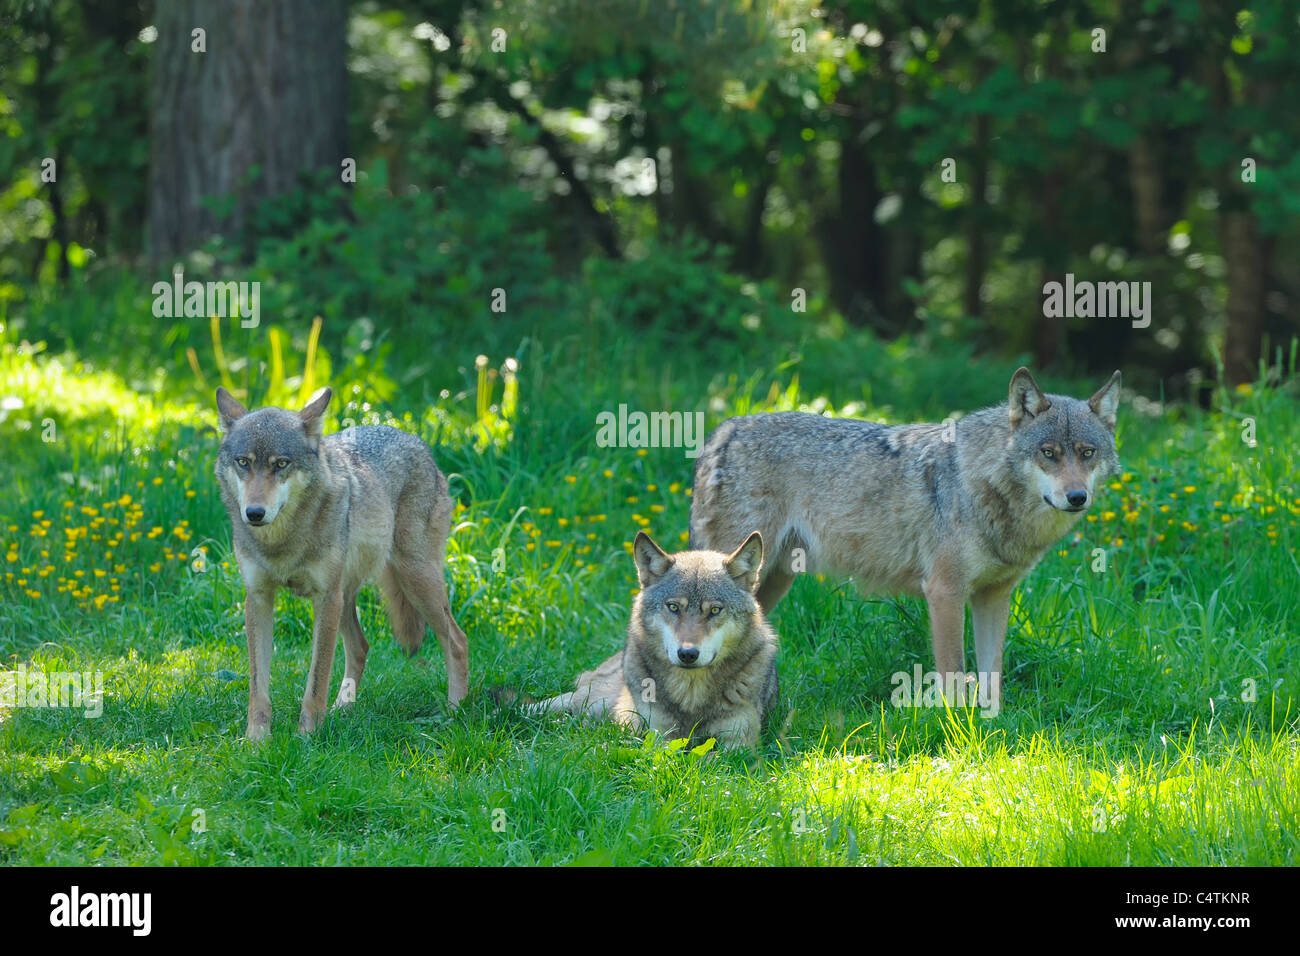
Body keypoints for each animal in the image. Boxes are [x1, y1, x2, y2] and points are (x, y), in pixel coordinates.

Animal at [215, 386, 469, 740]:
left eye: (281, 464)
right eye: (243, 462)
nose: (254, 513)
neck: (282, 542)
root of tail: (415, 440)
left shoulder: (325, 598)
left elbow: (316, 679)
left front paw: (307, 737)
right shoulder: (259, 598)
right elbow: (258, 686)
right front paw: (256, 740)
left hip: (413, 581)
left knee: (457, 640)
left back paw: (455, 711)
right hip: (350, 597)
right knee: (361, 646)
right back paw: (342, 710)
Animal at [534, 531, 779, 750]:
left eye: (715, 610)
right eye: (673, 607)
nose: (687, 654)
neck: (690, 692)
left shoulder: (741, 744)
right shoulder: (660, 736)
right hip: (589, 701)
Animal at [689, 367, 1121, 712]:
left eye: (1087, 453)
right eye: (1048, 453)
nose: (1077, 497)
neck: (984, 484)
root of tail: (724, 430)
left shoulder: (994, 597)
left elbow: (992, 675)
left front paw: (995, 725)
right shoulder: (945, 592)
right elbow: (953, 674)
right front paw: (957, 732)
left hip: (774, 581)